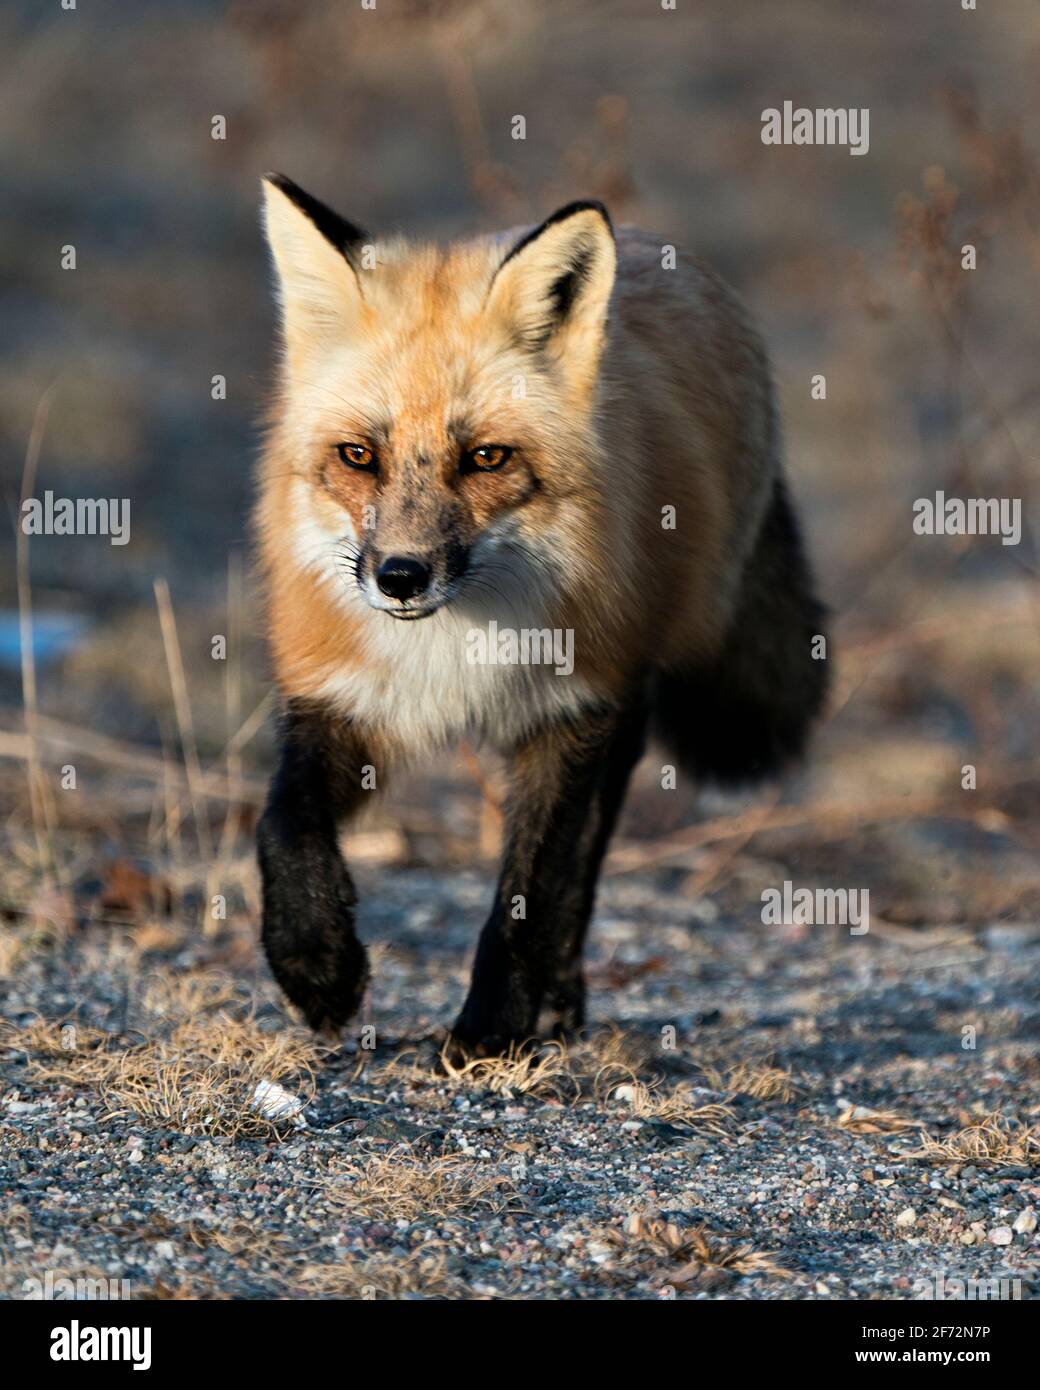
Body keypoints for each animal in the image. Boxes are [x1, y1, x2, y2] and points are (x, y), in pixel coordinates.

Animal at [255, 174, 828, 1056]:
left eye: (486, 458)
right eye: (358, 456)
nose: (399, 578)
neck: (455, 645)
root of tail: (662, 250)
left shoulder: (572, 709)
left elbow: (534, 891)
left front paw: (493, 1031)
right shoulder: (344, 697)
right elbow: (282, 825)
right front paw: (316, 964)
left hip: (628, 696)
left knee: (588, 858)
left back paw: (559, 994)